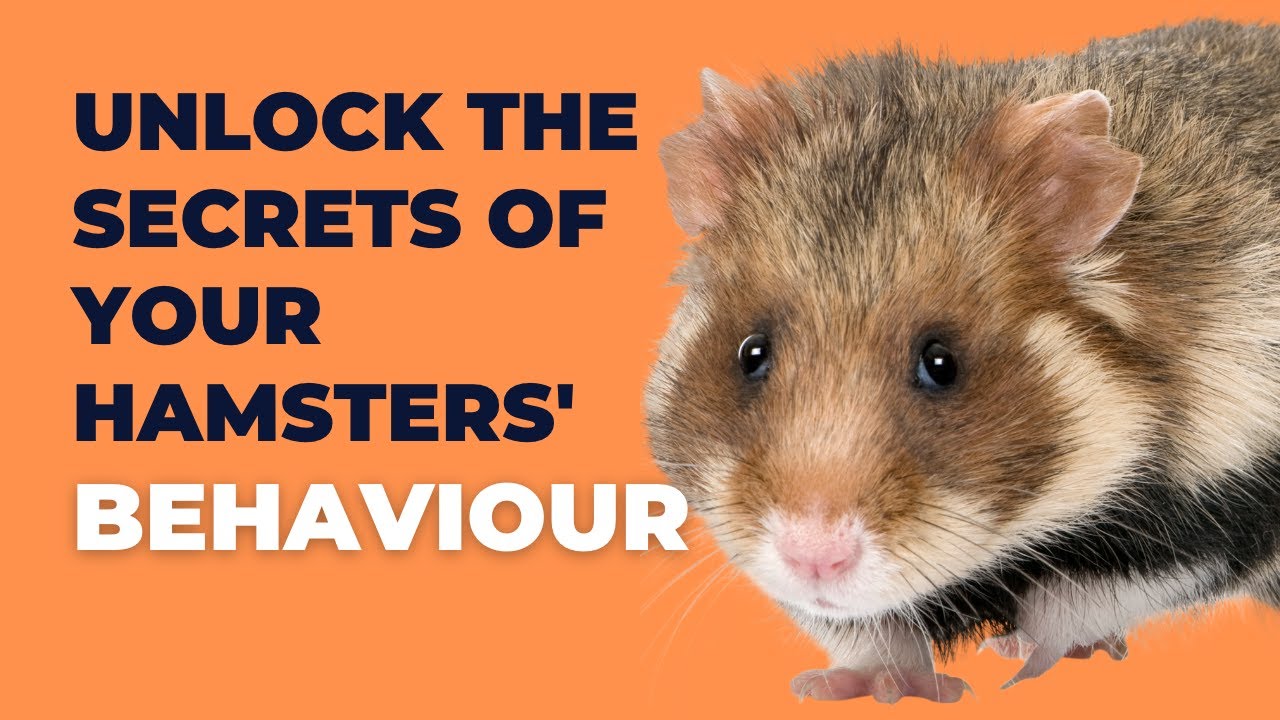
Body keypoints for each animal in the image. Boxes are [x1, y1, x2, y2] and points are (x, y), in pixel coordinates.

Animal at [646, 20, 1280, 703]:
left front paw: (1018, 666)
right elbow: (872, 631)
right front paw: (878, 687)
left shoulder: (1224, 506)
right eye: (751, 354)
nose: (813, 558)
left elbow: (1074, 599)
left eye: (942, 363)